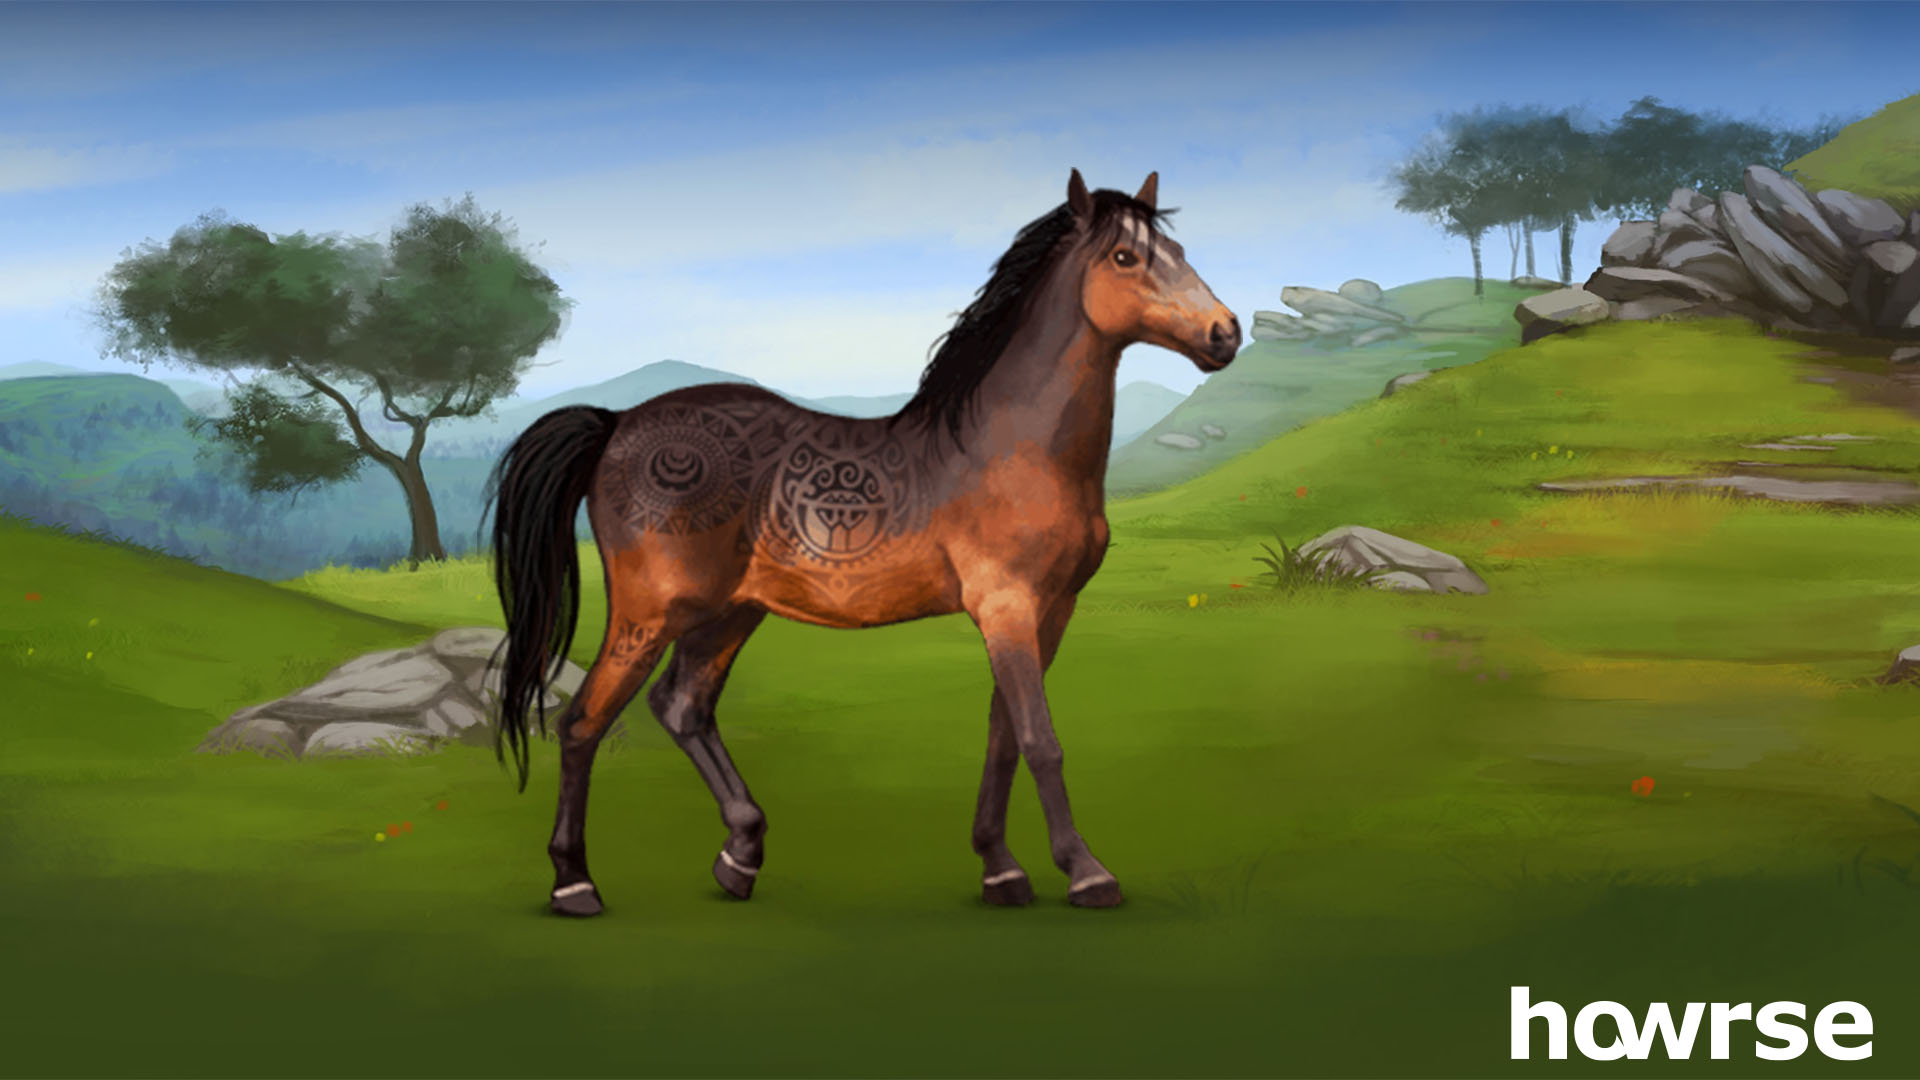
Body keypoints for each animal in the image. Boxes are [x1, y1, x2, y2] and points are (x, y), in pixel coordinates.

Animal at [484, 169, 1240, 917]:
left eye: (1177, 251)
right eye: (1126, 257)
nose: (1225, 332)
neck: (1010, 448)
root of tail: (615, 424)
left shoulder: (1049, 613)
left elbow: (1002, 736)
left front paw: (1000, 869)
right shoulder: (1008, 607)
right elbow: (1039, 739)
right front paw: (1085, 873)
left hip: (730, 612)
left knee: (682, 708)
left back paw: (740, 857)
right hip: (650, 614)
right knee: (583, 723)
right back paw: (574, 883)